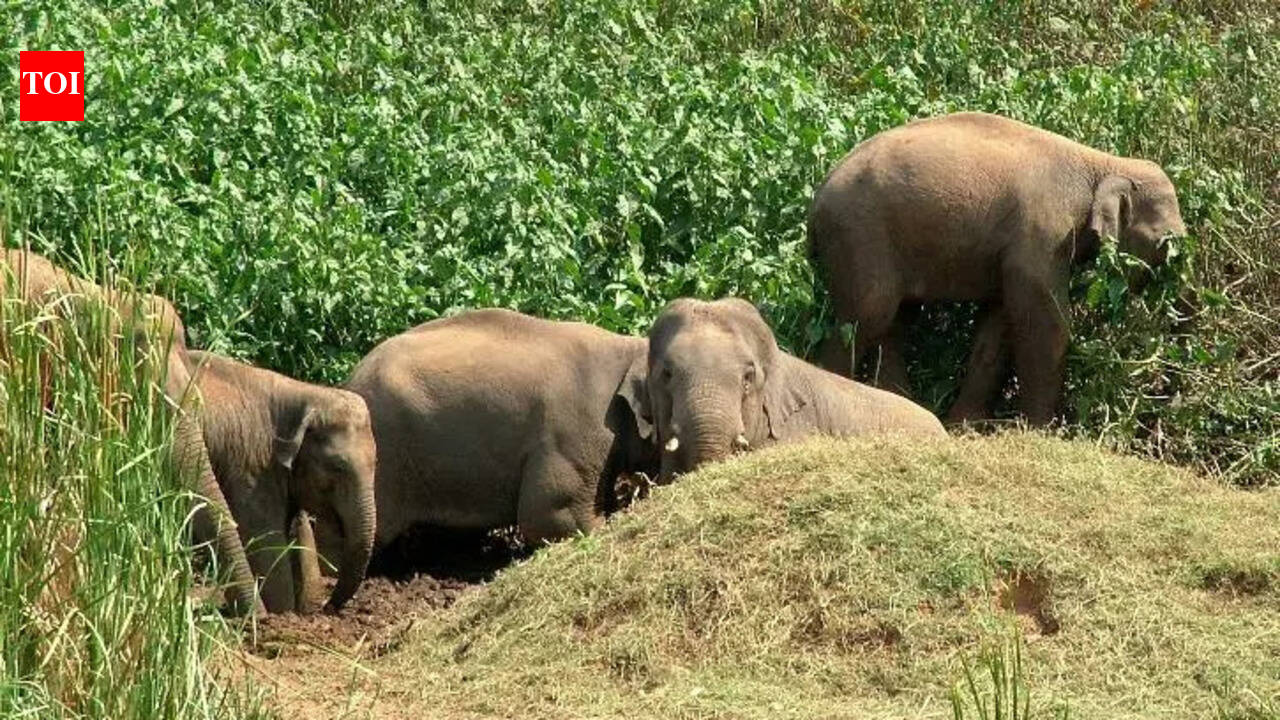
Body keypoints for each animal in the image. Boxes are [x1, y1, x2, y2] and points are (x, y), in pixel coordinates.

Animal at [187, 350, 376, 613]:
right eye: (338, 467)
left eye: (377, 463)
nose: (328, 607)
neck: (306, 394)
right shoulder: (253, 468)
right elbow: (268, 541)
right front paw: (283, 613)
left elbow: (301, 531)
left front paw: (305, 608)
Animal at [807, 111, 1187, 425]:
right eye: (1165, 244)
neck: (1100, 162)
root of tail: (818, 195)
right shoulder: (1041, 235)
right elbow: (1046, 321)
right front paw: (1041, 430)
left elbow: (999, 322)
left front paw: (967, 426)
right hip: (859, 235)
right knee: (867, 315)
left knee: (894, 321)